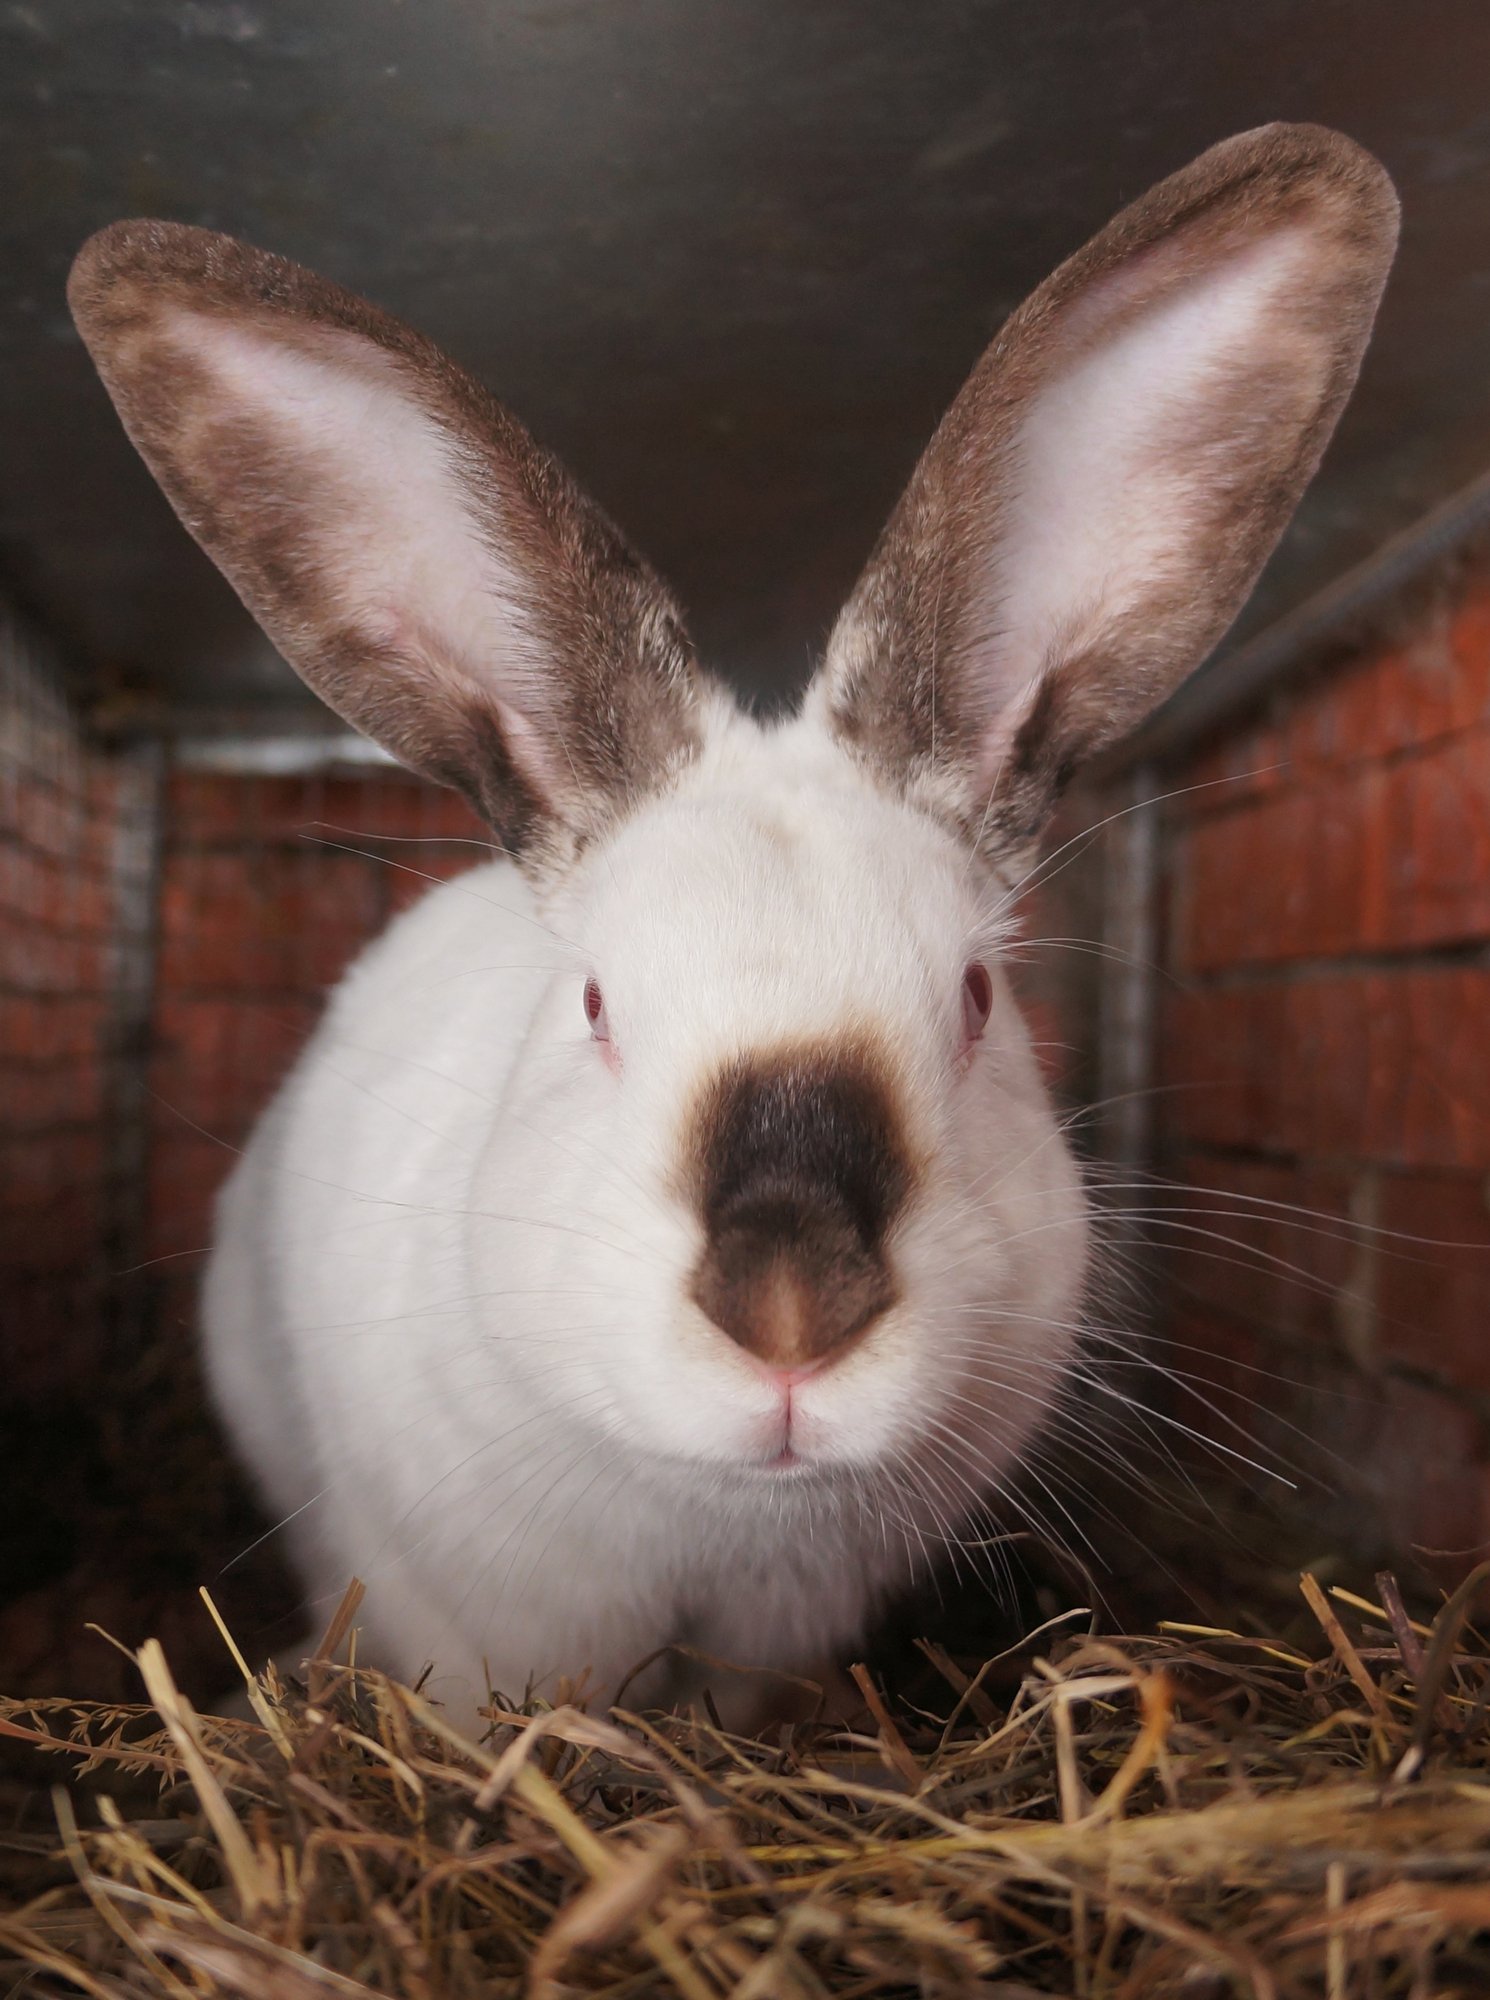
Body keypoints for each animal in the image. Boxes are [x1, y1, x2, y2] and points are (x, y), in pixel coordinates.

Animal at [68, 124, 1396, 1730]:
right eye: (591, 1005)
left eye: (976, 999)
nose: (787, 1309)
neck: (723, 1524)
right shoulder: (469, 1617)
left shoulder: (782, 1626)